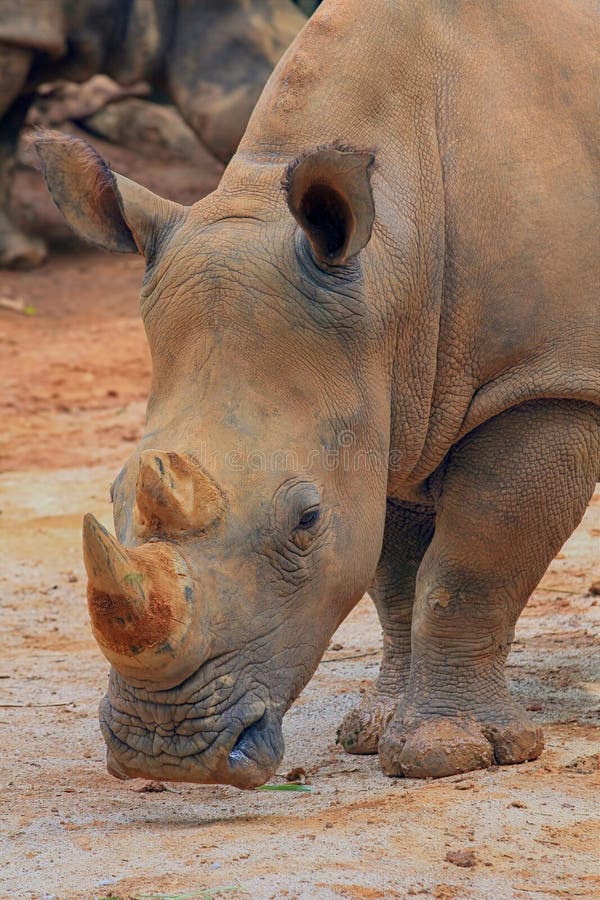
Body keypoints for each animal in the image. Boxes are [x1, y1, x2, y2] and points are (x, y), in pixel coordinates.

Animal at [37, 0, 599, 787]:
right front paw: (374, 733)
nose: (168, 752)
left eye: (305, 520)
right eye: (115, 494)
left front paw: (444, 756)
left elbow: (468, 570)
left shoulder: (545, 381)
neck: (396, 261)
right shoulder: (392, 401)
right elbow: (396, 578)